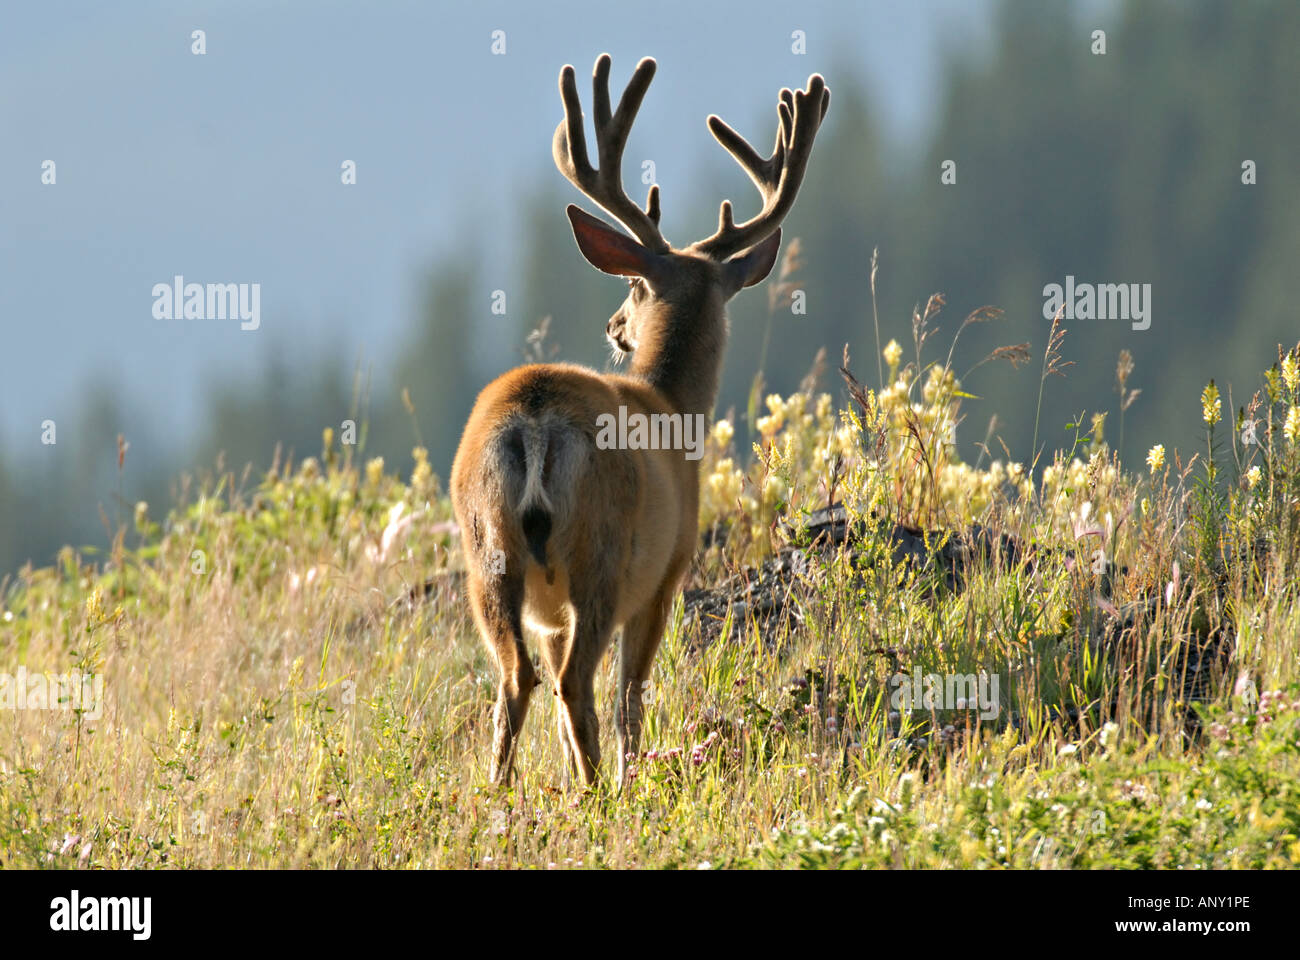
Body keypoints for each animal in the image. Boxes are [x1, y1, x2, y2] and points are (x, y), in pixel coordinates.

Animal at [450, 53, 830, 788]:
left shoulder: (551, 610)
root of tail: (534, 422)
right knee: (576, 684)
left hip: (488, 553)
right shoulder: (667, 572)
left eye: (630, 286)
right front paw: (629, 777)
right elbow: (634, 695)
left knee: (517, 682)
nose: (613, 326)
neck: (671, 403)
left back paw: (501, 793)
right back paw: (602, 794)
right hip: (602, 552)